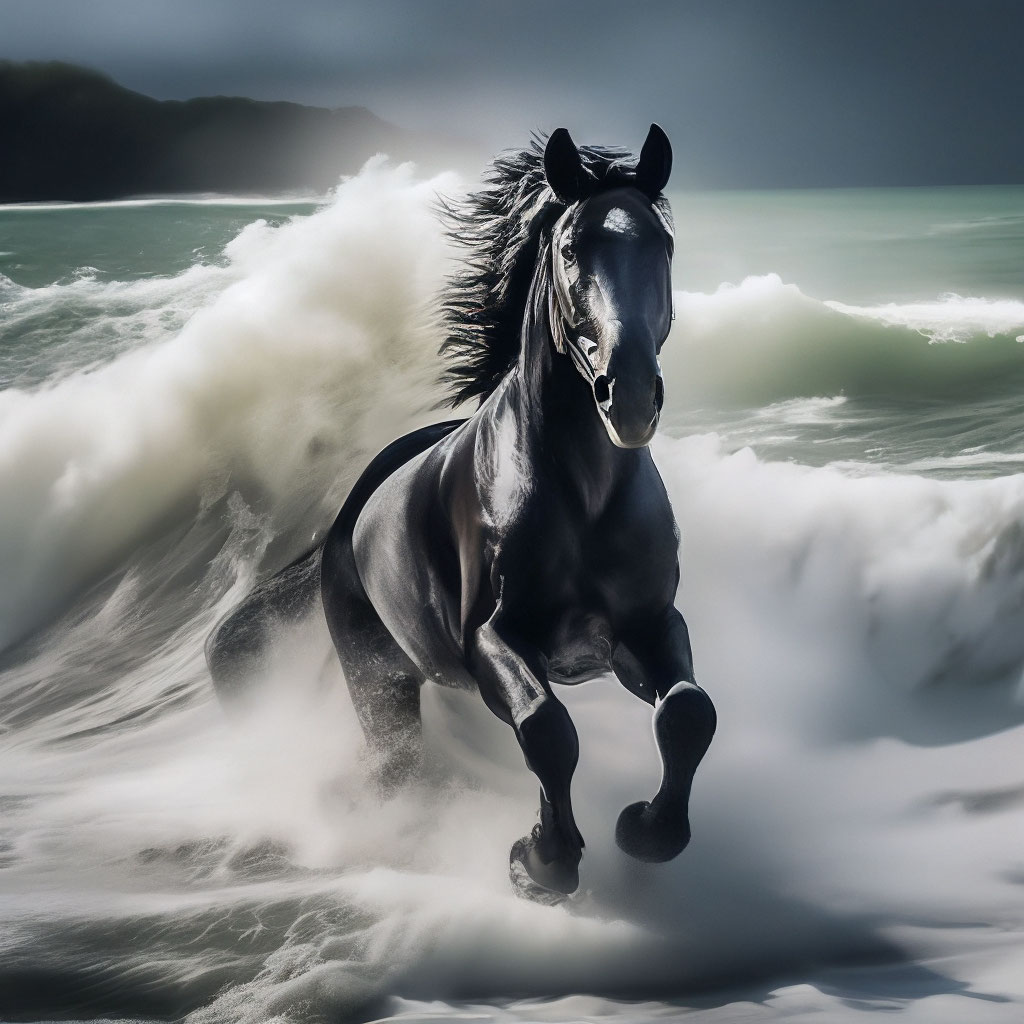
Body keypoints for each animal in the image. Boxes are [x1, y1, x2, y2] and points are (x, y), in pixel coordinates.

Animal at [206, 124, 717, 902]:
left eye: (661, 242)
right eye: (572, 248)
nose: (627, 394)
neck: (582, 499)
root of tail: (346, 517)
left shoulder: (643, 630)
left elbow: (688, 712)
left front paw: (647, 831)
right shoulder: (491, 642)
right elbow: (547, 730)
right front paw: (542, 861)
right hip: (379, 681)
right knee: (398, 769)